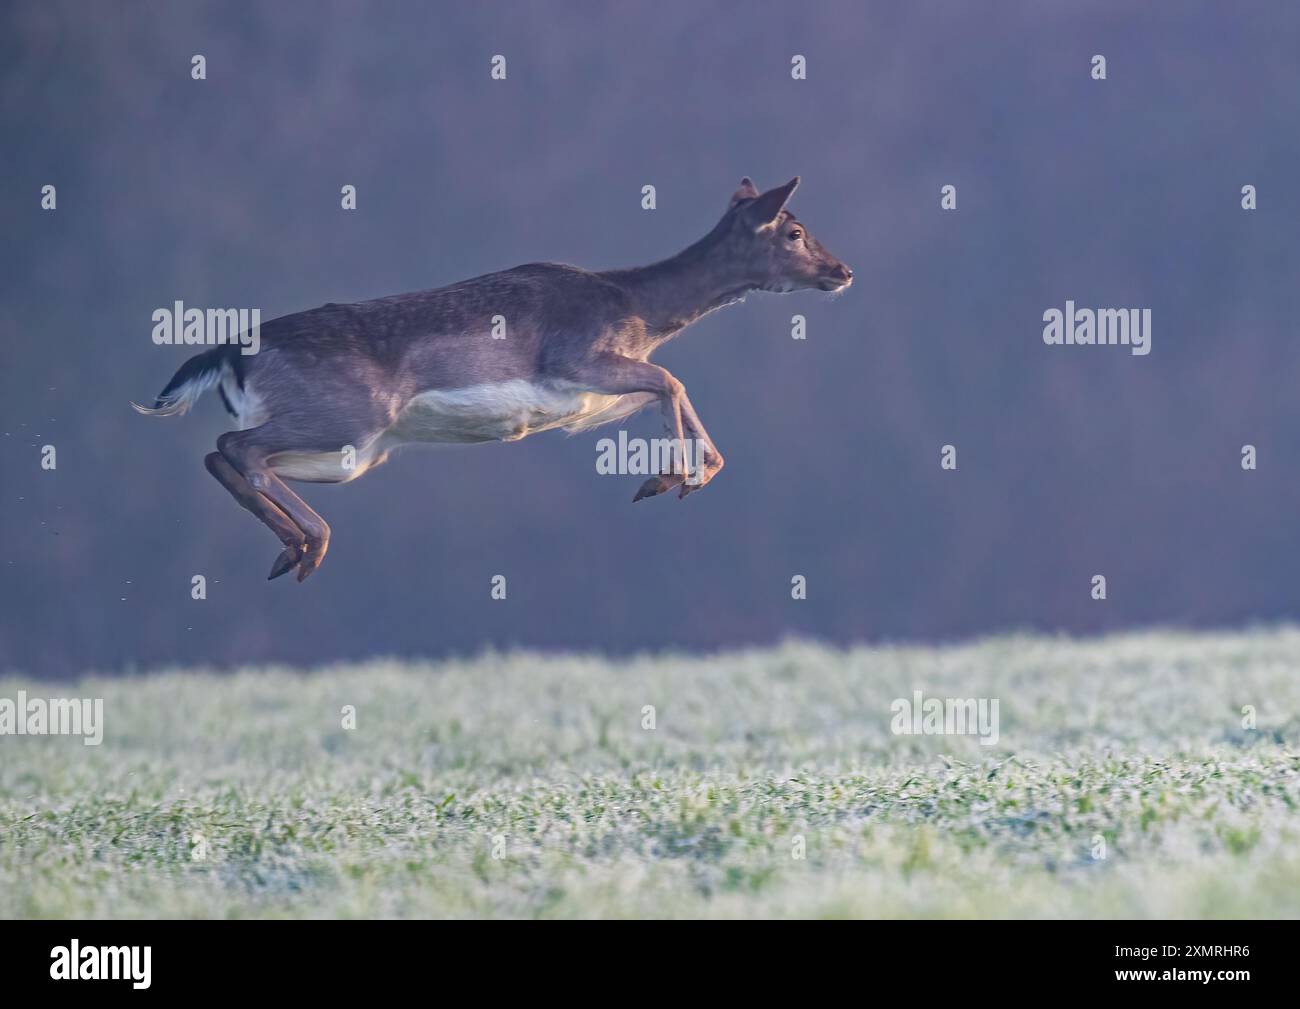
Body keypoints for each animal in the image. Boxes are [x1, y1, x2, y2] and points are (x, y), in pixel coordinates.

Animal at [133, 177, 853, 582]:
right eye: (794, 230)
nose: (842, 270)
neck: (639, 309)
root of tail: (232, 351)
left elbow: (671, 392)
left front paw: (680, 474)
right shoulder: (574, 356)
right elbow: (671, 379)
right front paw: (671, 477)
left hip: (350, 453)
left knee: (222, 452)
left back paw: (293, 551)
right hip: (348, 418)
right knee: (236, 447)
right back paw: (311, 546)